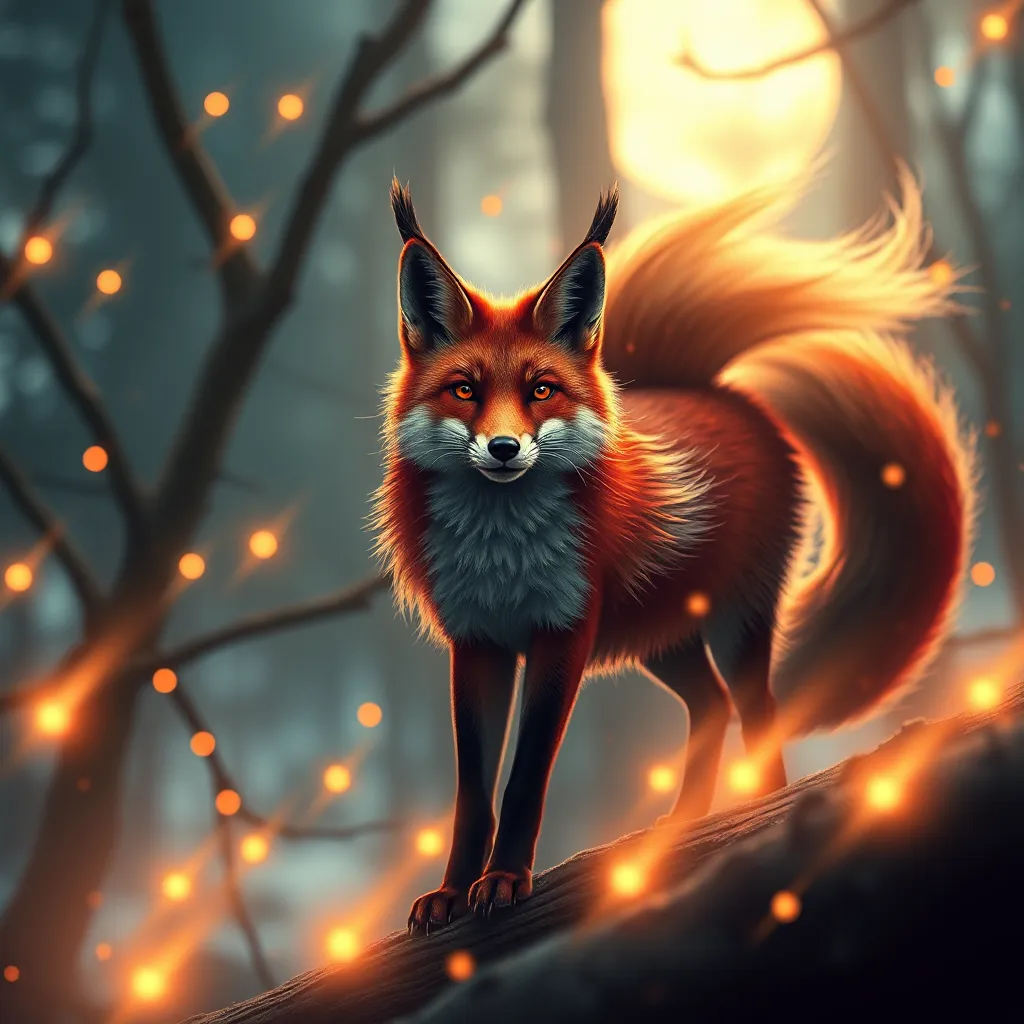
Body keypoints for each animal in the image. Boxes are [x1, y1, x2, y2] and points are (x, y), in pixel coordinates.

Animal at [373, 166, 976, 935]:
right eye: (464, 390)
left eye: (541, 390)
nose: (504, 448)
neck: (502, 555)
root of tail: (715, 392)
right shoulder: (477, 643)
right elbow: (474, 792)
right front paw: (452, 892)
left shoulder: (562, 635)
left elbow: (526, 778)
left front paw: (505, 880)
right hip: (661, 637)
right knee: (711, 708)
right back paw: (681, 826)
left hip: (735, 622)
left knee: (755, 713)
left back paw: (757, 815)